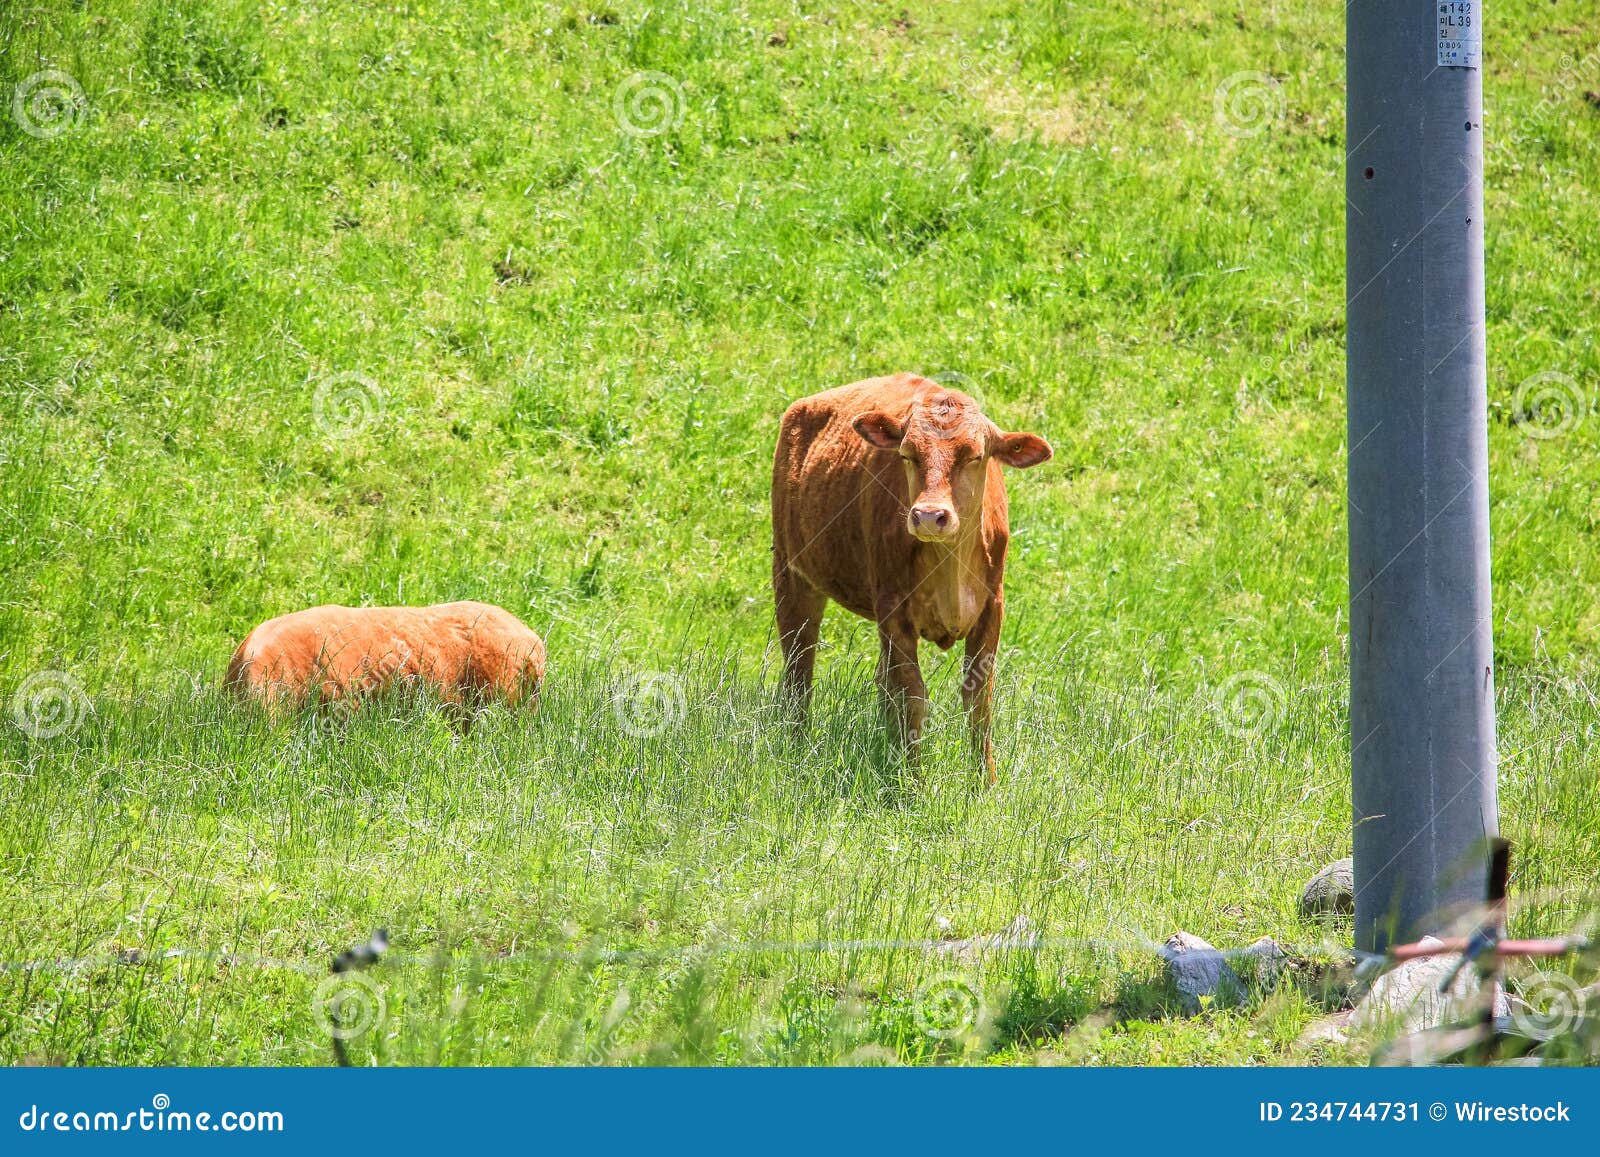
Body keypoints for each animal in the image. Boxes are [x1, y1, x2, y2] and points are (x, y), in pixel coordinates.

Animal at [771, 373, 1052, 783]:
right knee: (799, 673)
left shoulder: (992, 606)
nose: (930, 516)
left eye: (975, 455)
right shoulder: (894, 608)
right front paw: (912, 783)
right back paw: (796, 751)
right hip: (791, 574)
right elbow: (912, 696)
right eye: (908, 454)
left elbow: (978, 696)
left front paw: (984, 783)